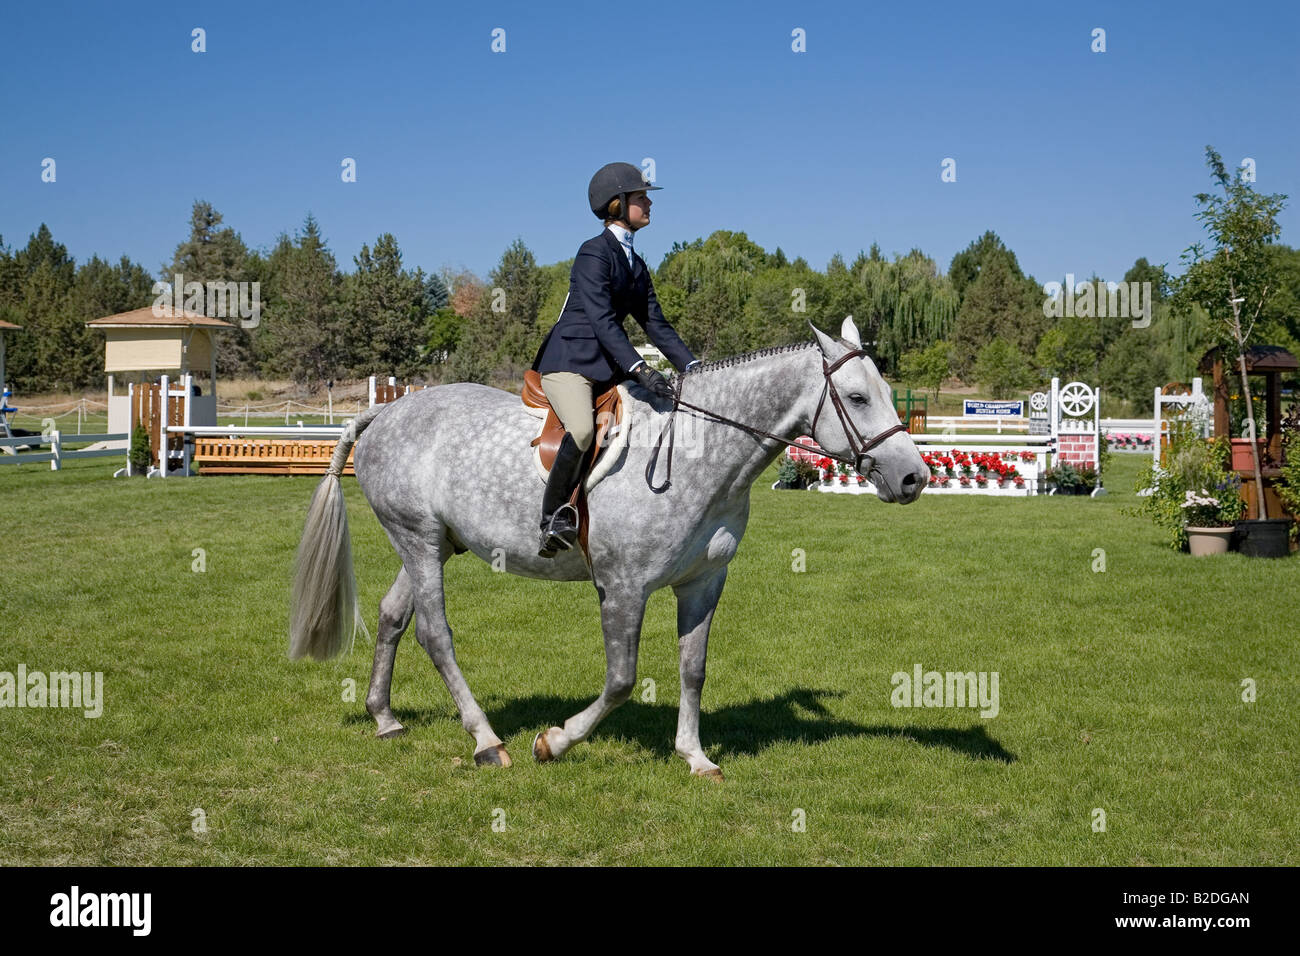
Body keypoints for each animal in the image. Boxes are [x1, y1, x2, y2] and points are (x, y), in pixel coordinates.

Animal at [288, 317, 928, 779]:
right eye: (856, 398)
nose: (914, 478)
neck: (699, 450)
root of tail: (387, 409)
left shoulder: (703, 583)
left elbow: (693, 668)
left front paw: (695, 757)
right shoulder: (623, 587)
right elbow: (621, 679)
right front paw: (555, 742)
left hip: (436, 544)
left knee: (393, 616)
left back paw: (385, 718)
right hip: (418, 539)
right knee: (434, 633)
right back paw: (488, 742)